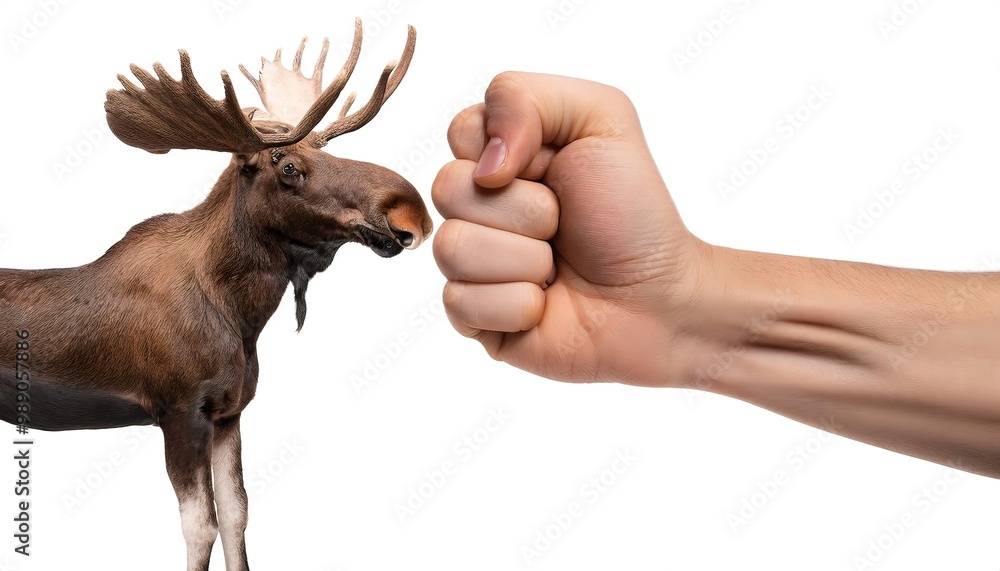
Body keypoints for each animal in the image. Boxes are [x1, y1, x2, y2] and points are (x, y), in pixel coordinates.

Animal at [0, 19, 431, 571]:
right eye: (286, 166)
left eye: (326, 153)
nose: (408, 211)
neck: (240, 316)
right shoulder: (180, 412)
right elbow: (199, 527)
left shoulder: (229, 413)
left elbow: (237, 517)